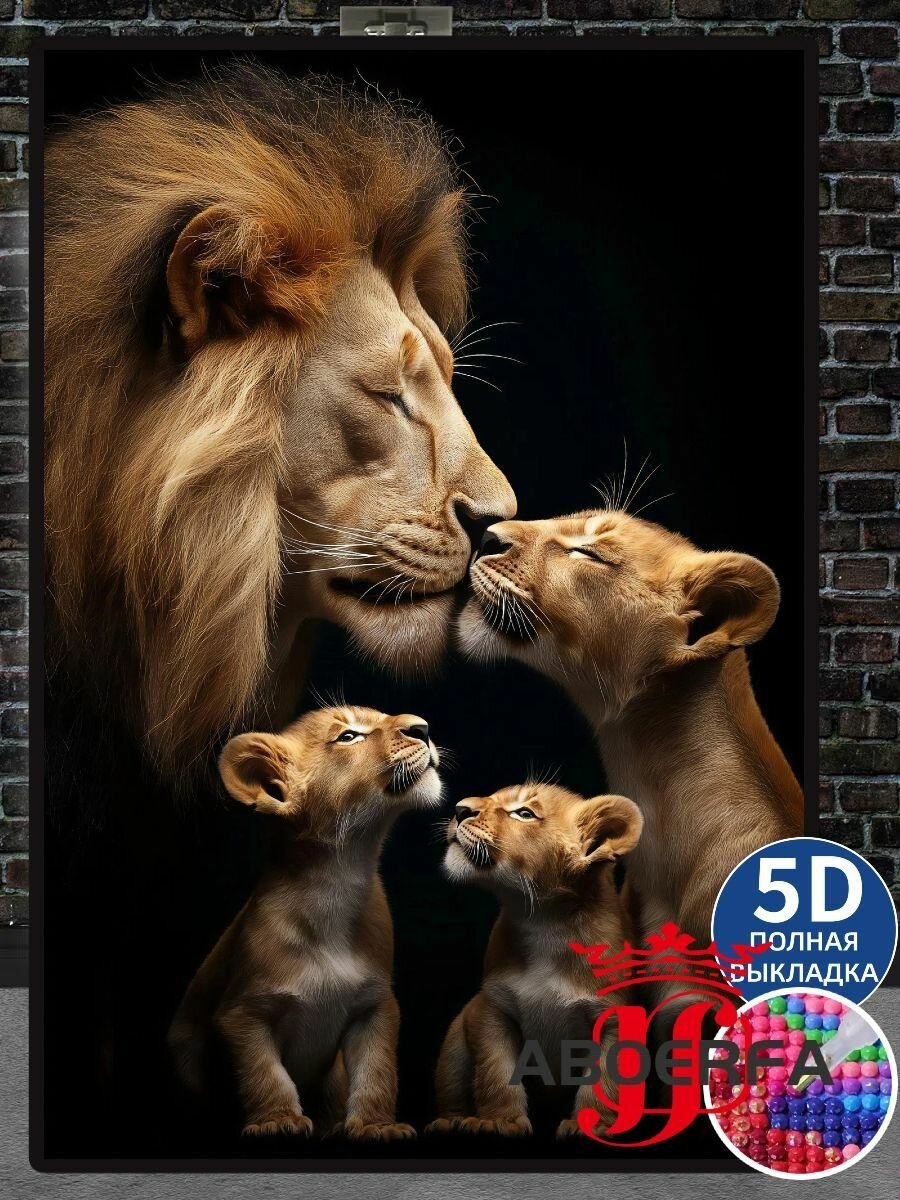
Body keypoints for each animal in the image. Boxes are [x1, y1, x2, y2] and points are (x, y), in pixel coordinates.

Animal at [168, 705, 441, 1141]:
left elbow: (376, 1070)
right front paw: (278, 1121)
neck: (337, 879)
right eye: (348, 736)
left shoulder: (375, 1005)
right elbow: (264, 1073)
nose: (423, 728)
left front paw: (376, 1125)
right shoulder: (242, 1013)